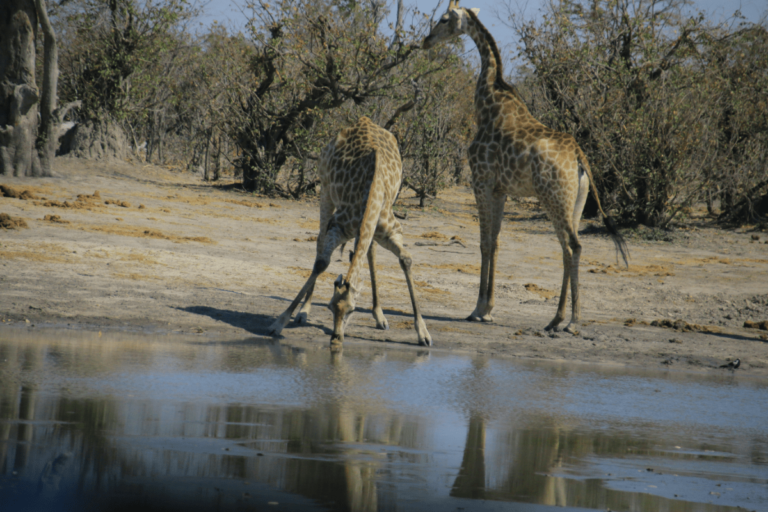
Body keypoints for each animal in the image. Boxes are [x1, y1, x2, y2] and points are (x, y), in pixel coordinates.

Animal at [268, 117, 433, 347]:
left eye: (352, 311)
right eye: (330, 307)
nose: (336, 338)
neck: (372, 193)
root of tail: (363, 120)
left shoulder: (391, 231)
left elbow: (405, 260)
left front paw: (423, 333)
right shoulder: (338, 226)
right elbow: (321, 263)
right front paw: (279, 322)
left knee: (368, 251)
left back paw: (379, 315)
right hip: (325, 188)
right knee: (320, 241)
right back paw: (304, 312)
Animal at [423, 1, 628, 333]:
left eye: (443, 19)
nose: (426, 41)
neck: (486, 104)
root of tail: (579, 157)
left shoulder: (479, 181)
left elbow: (484, 243)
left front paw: (478, 309)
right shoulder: (500, 189)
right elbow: (495, 242)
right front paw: (488, 309)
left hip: (554, 197)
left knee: (572, 246)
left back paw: (567, 320)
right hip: (576, 201)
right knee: (569, 247)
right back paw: (560, 319)